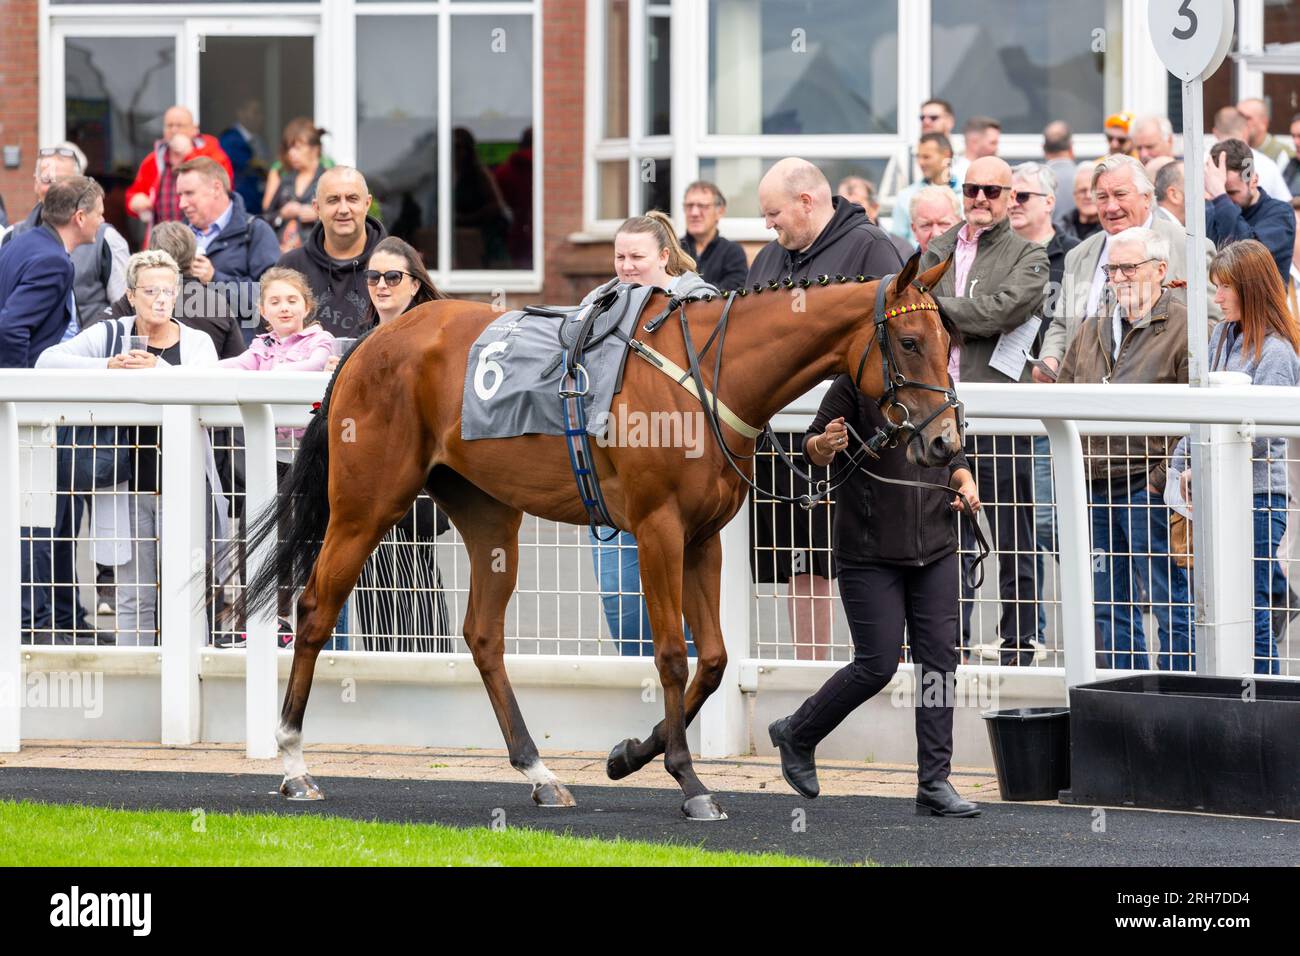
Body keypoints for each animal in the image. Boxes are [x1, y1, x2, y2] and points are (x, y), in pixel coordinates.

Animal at [235, 250, 960, 820]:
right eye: (911, 342)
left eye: (946, 339)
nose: (948, 442)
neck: (708, 375)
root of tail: (369, 342)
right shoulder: (658, 528)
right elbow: (671, 655)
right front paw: (688, 780)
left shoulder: (704, 537)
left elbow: (715, 659)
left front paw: (631, 753)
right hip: (366, 505)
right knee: (314, 609)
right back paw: (294, 764)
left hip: (487, 511)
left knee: (483, 634)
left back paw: (539, 773)